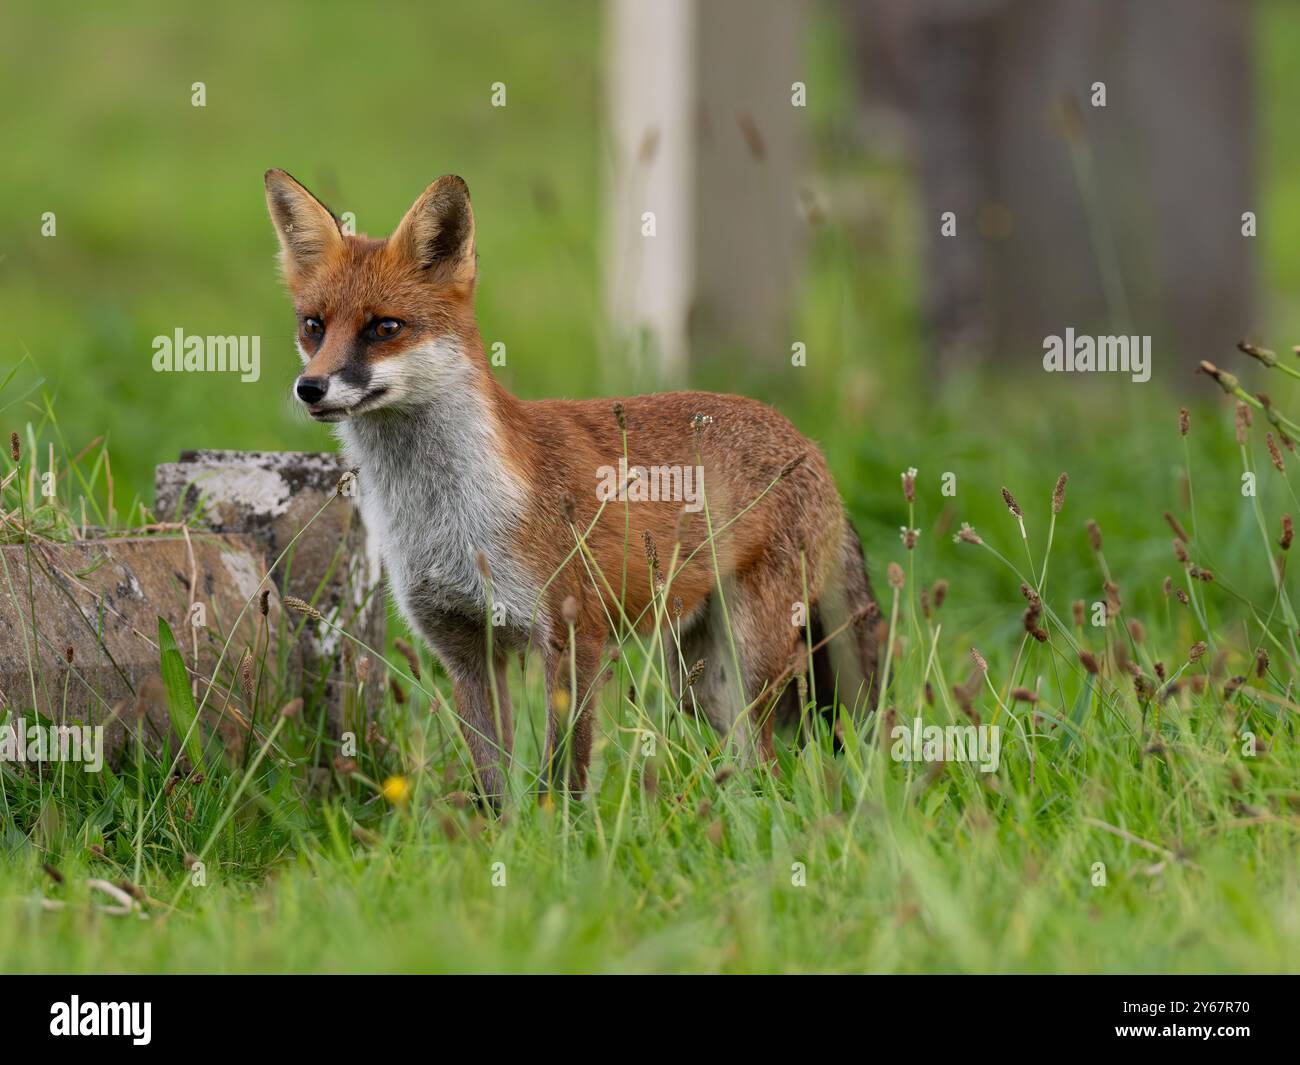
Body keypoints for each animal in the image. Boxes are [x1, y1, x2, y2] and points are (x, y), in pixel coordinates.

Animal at [263, 168, 879, 803]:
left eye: (384, 327)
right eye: (314, 326)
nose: (310, 387)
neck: (446, 516)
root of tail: (808, 443)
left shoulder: (573, 636)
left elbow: (565, 775)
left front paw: (561, 827)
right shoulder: (464, 647)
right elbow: (492, 786)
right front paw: (502, 828)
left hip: (748, 660)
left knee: (769, 764)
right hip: (700, 681)